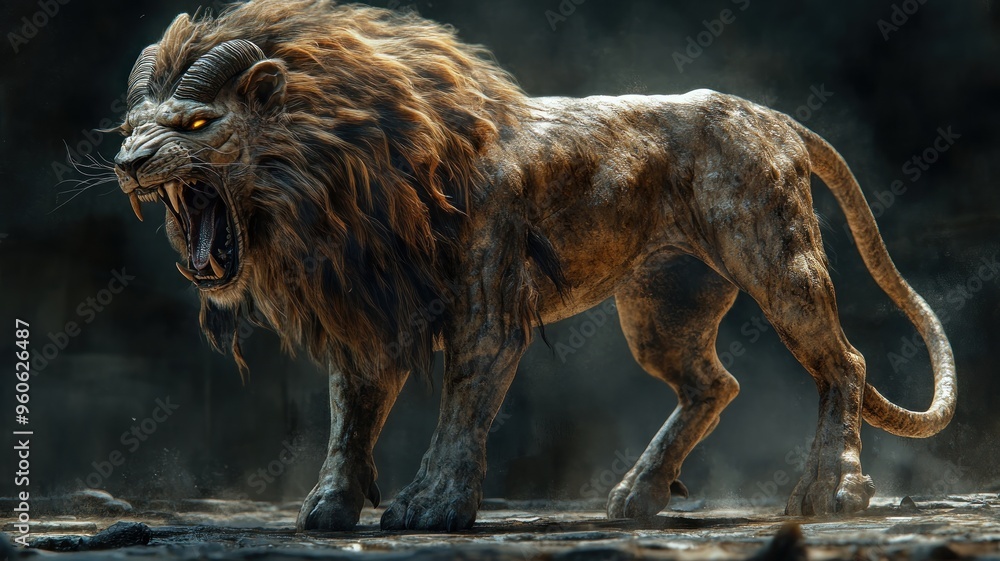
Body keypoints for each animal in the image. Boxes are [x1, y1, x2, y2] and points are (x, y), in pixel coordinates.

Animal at [113, 0, 956, 531]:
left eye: (197, 123)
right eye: (129, 127)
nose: (126, 163)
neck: (338, 181)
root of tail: (773, 115)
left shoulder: (483, 306)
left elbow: (463, 402)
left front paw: (431, 506)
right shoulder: (368, 311)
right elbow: (348, 414)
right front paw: (327, 507)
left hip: (777, 260)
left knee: (844, 362)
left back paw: (831, 490)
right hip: (661, 308)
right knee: (714, 383)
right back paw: (636, 495)